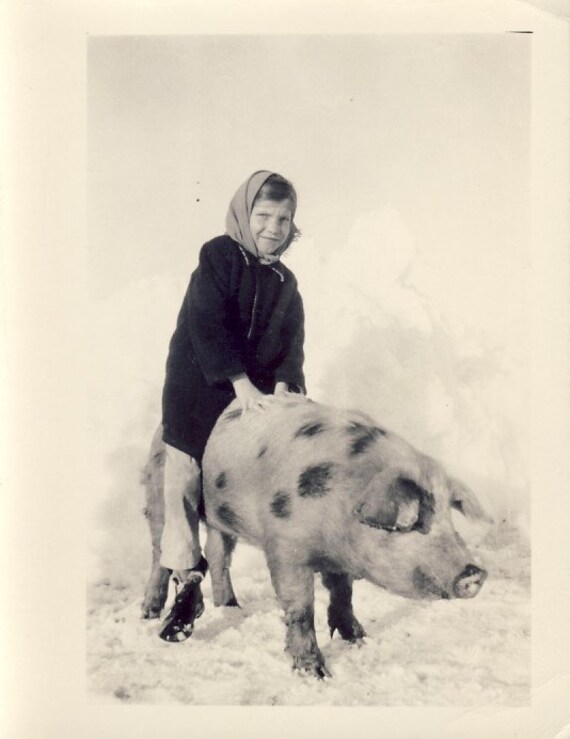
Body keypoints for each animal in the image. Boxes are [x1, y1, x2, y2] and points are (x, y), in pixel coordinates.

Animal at [142, 394, 490, 678]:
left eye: (448, 517)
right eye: (414, 522)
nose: (475, 573)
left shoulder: (337, 558)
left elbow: (343, 594)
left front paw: (359, 639)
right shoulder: (284, 547)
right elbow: (300, 607)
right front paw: (315, 674)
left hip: (222, 518)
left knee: (218, 553)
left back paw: (231, 607)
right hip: (158, 492)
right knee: (162, 553)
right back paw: (156, 617)